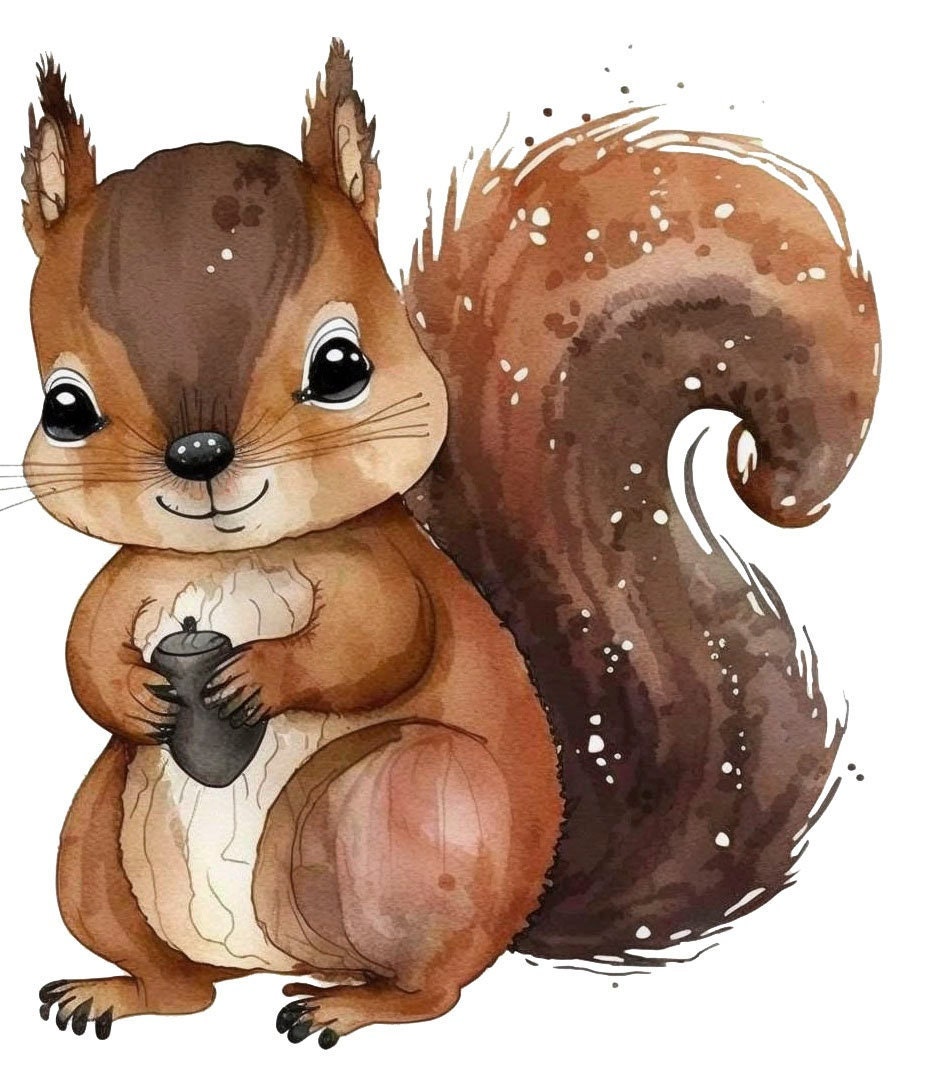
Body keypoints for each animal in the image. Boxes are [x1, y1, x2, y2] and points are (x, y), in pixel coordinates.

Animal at [18, 42, 879, 1046]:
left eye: (341, 367)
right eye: (64, 408)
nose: (198, 457)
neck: (232, 559)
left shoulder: (384, 573)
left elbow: (383, 639)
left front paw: (259, 674)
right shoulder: (129, 580)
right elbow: (82, 648)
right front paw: (132, 691)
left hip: (392, 807)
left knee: (433, 986)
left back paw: (352, 1005)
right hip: (91, 849)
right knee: (187, 986)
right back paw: (120, 991)